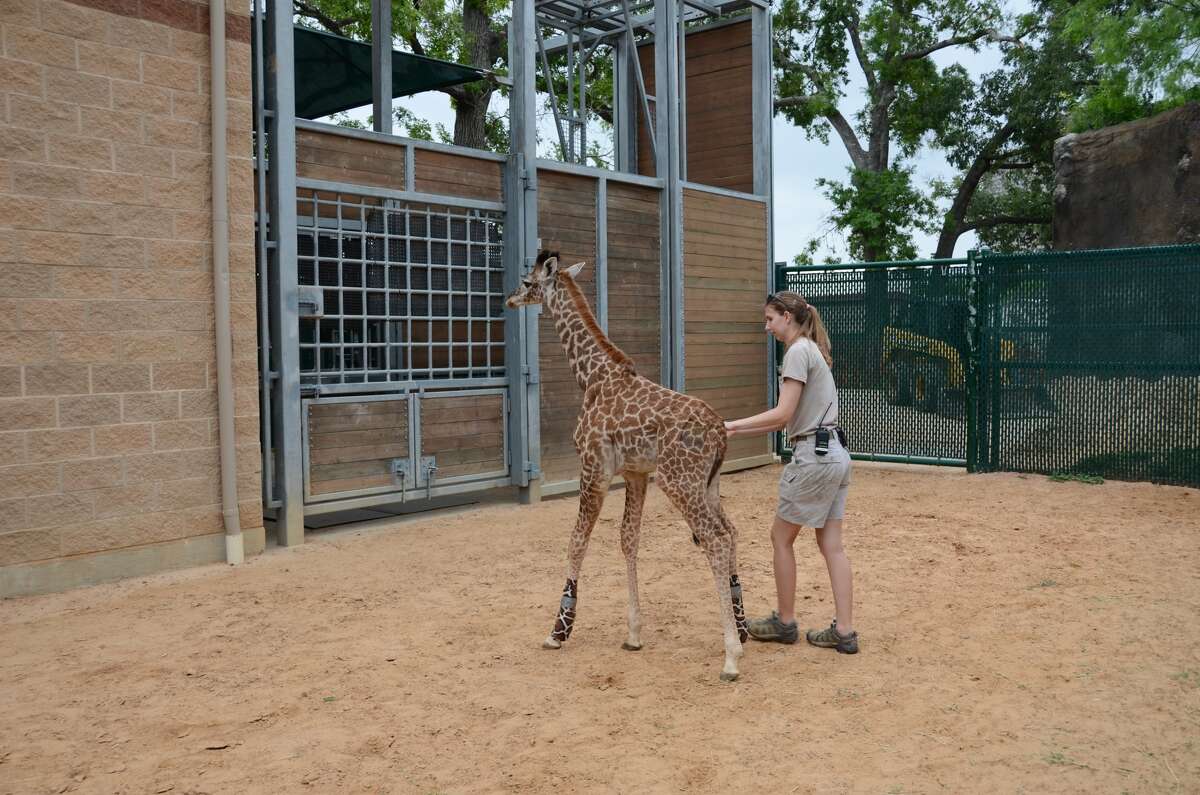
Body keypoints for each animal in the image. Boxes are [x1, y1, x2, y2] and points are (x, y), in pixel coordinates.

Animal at [506, 250, 749, 681]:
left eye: (528, 282)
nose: (510, 299)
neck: (590, 377)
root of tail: (721, 433)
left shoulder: (593, 468)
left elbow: (577, 541)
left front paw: (558, 630)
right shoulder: (636, 474)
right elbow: (628, 540)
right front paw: (634, 634)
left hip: (678, 481)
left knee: (716, 539)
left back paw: (731, 657)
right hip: (708, 484)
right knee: (731, 532)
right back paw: (741, 629)